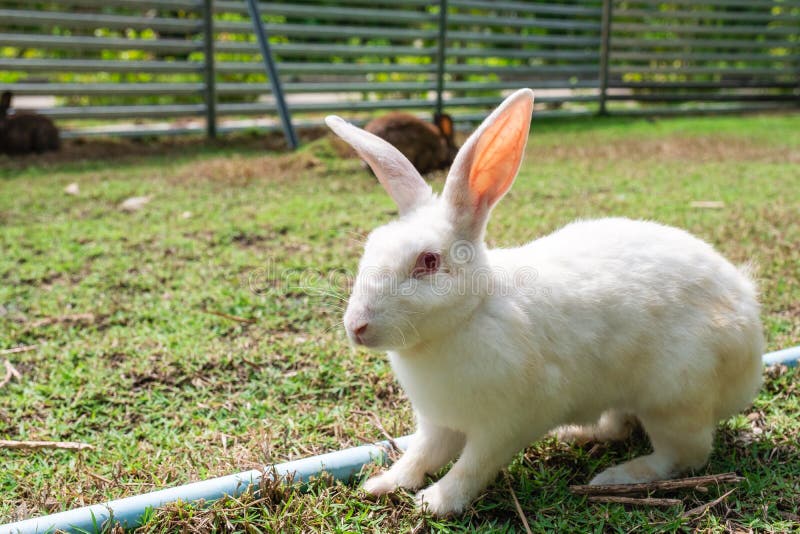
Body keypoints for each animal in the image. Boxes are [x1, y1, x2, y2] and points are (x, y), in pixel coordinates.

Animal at [324, 88, 764, 517]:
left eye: (428, 261)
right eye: (371, 245)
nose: (356, 327)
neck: (470, 315)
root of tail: (750, 334)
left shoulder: (505, 426)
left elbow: (472, 466)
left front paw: (436, 502)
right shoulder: (437, 423)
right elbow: (419, 456)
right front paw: (382, 484)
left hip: (673, 400)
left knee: (687, 454)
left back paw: (617, 476)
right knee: (620, 426)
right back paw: (577, 434)